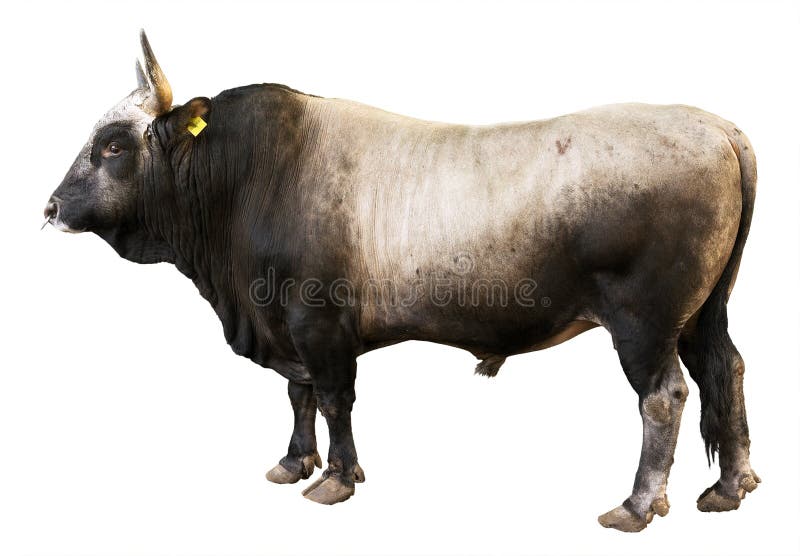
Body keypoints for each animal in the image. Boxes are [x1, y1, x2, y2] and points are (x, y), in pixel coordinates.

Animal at [44, 31, 759, 532]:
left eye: (113, 144)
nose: (49, 208)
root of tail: (717, 127)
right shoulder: (287, 329)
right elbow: (299, 396)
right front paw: (294, 461)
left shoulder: (318, 322)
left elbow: (335, 399)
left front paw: (336, 478)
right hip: (702, 313)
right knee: (725, 369)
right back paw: (730, 486)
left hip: (646, 321)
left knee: (664, 396)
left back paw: (637, 504)